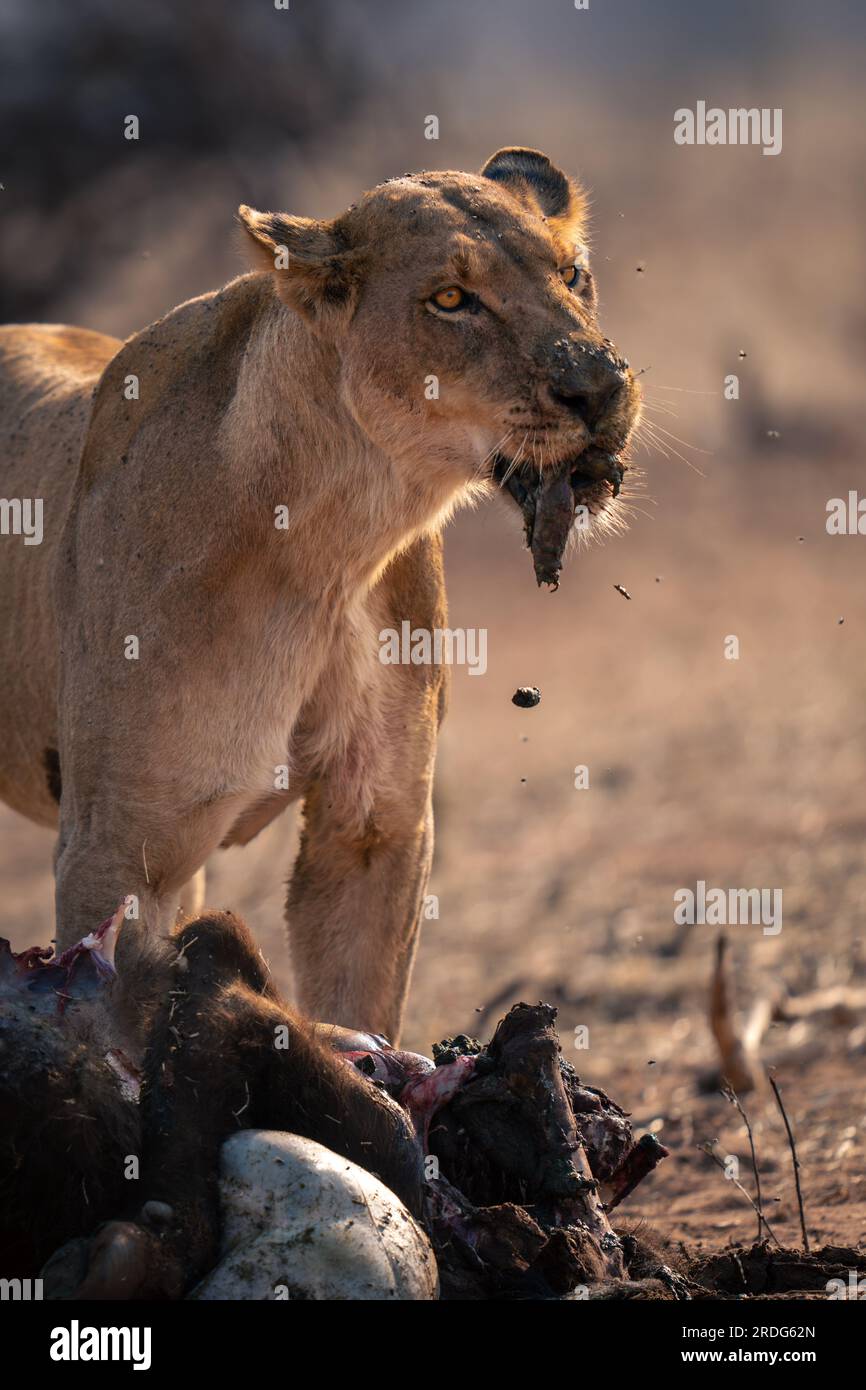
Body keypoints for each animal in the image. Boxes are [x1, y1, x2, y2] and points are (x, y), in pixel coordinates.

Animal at [0, 147, 640, 1041]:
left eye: (573, 272)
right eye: (451, 301)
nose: (601, 388)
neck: (331, 545)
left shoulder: (374, 827)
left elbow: (358, 1007)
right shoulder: (113, 851)